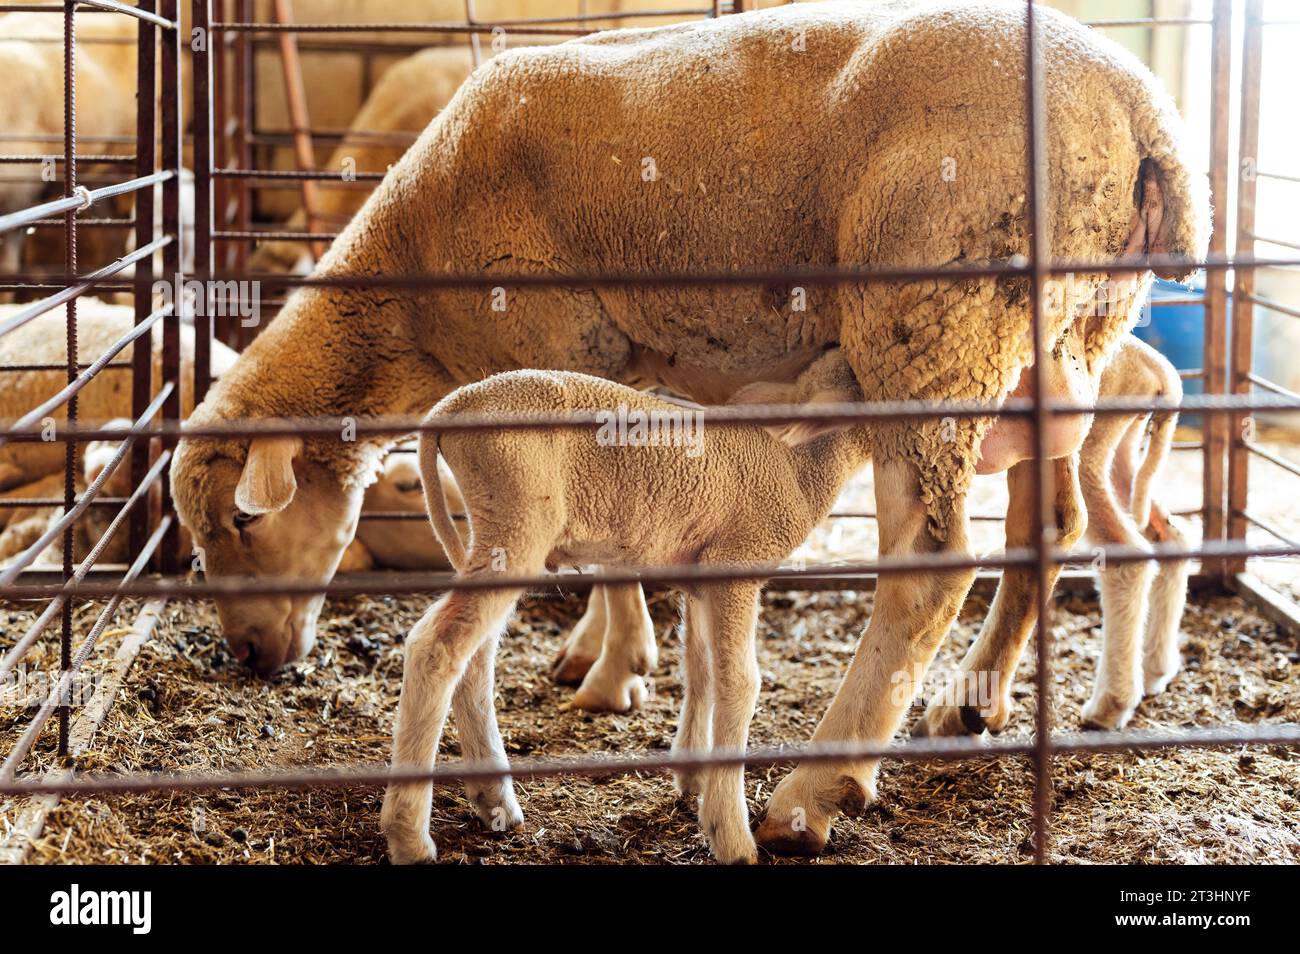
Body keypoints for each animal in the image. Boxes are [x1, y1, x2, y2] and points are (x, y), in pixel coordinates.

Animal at [382, 353, 868, 865]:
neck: (799, 467)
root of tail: (451, 407)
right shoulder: (737, 561)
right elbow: (739, 682)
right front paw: (730, 834)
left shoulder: (700, 577)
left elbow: (701, 670)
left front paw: (693, 777)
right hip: (519, 517)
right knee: (437, 647)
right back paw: (409, 835)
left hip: (496, 529)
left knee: (475, 654)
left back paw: (493, 800)